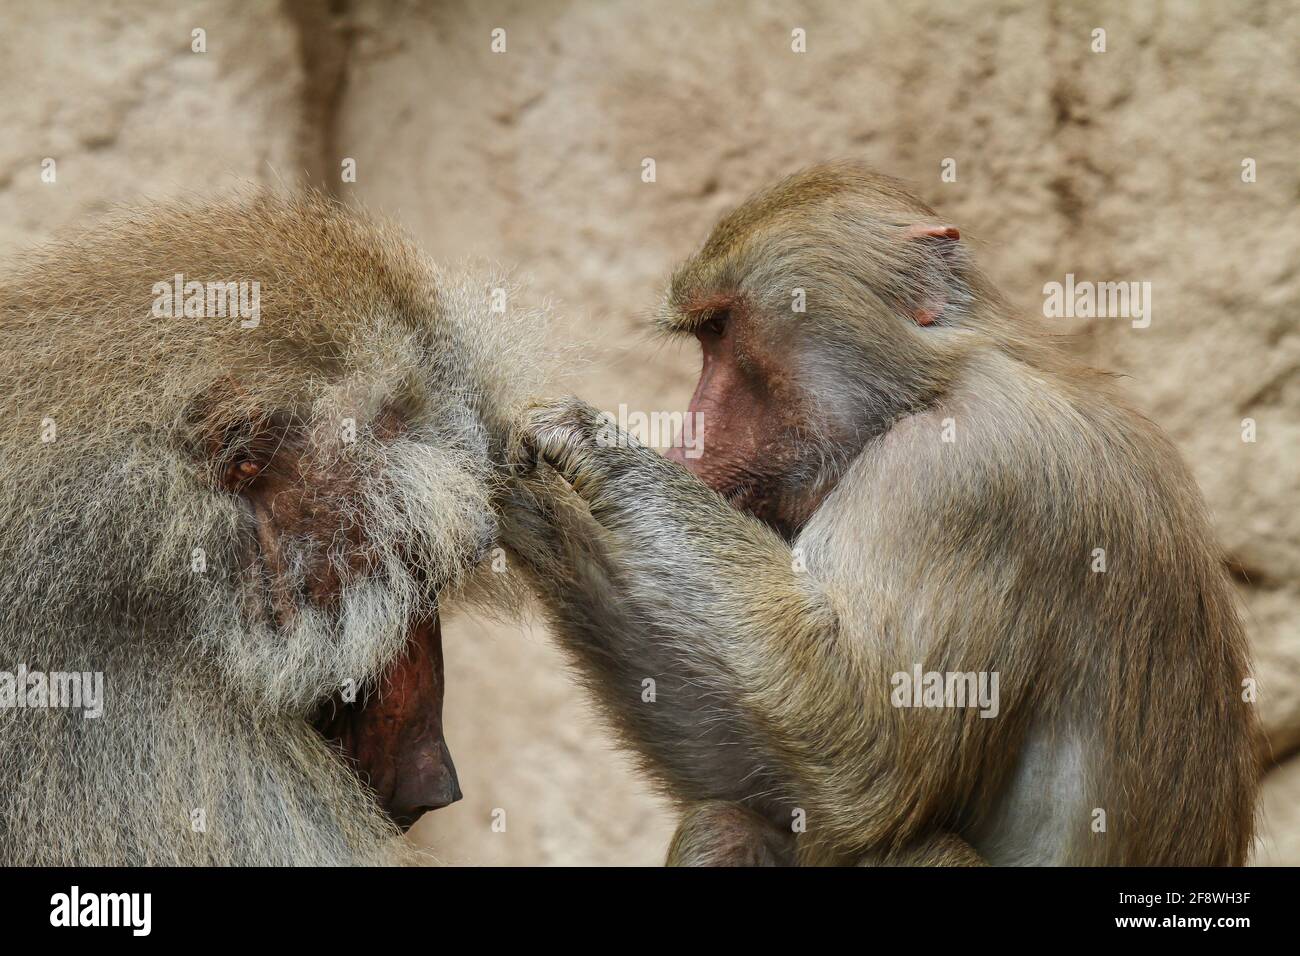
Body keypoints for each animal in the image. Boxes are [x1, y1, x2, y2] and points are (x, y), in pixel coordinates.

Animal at [504, 162, 1260, 866]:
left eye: (720, 331)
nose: (683, 443)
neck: (934, 385)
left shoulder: (959, 475)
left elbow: (868, 750)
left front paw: (589, 441)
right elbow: (766, 784)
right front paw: (515, 499)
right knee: (723, 821)